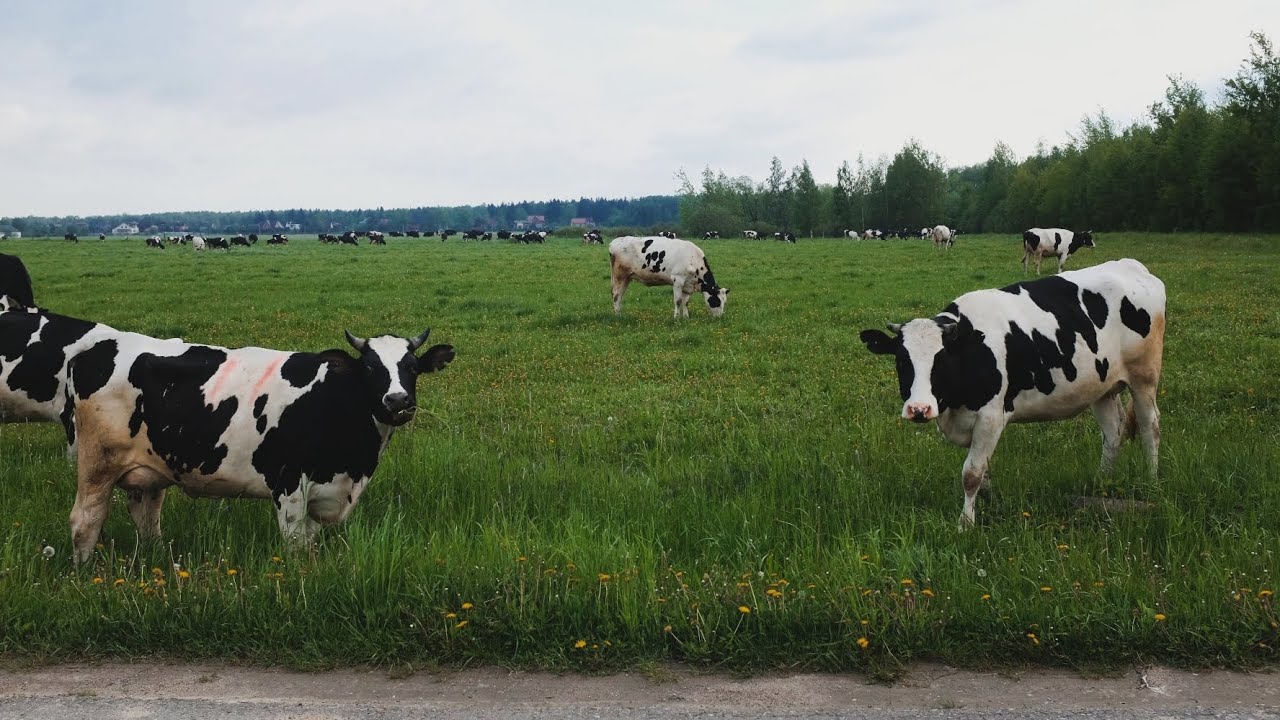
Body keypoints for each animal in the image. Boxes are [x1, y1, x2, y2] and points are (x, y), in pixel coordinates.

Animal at [53, 321, 454, 563]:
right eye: (370, 368)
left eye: (412, 368)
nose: (398, 401)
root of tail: (92, 350)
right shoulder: (289, 485)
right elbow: (295, 548)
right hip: (97, 464)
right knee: (85, 520)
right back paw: (84, 572)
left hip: (151, 469)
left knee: (146, 517)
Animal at [858, 259, 1165, 528]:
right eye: (901, 360)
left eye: (941, 359)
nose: (919, 409)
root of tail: (1132, 265)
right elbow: (983, 473)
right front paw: (992, 505)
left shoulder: (991, 416)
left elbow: (971, 473)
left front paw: (965, 524)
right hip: (1101, 386)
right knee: (1113, 431)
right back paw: (1101, 483)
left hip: (1144, 376)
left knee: (1150, 426)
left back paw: (1151, 482)